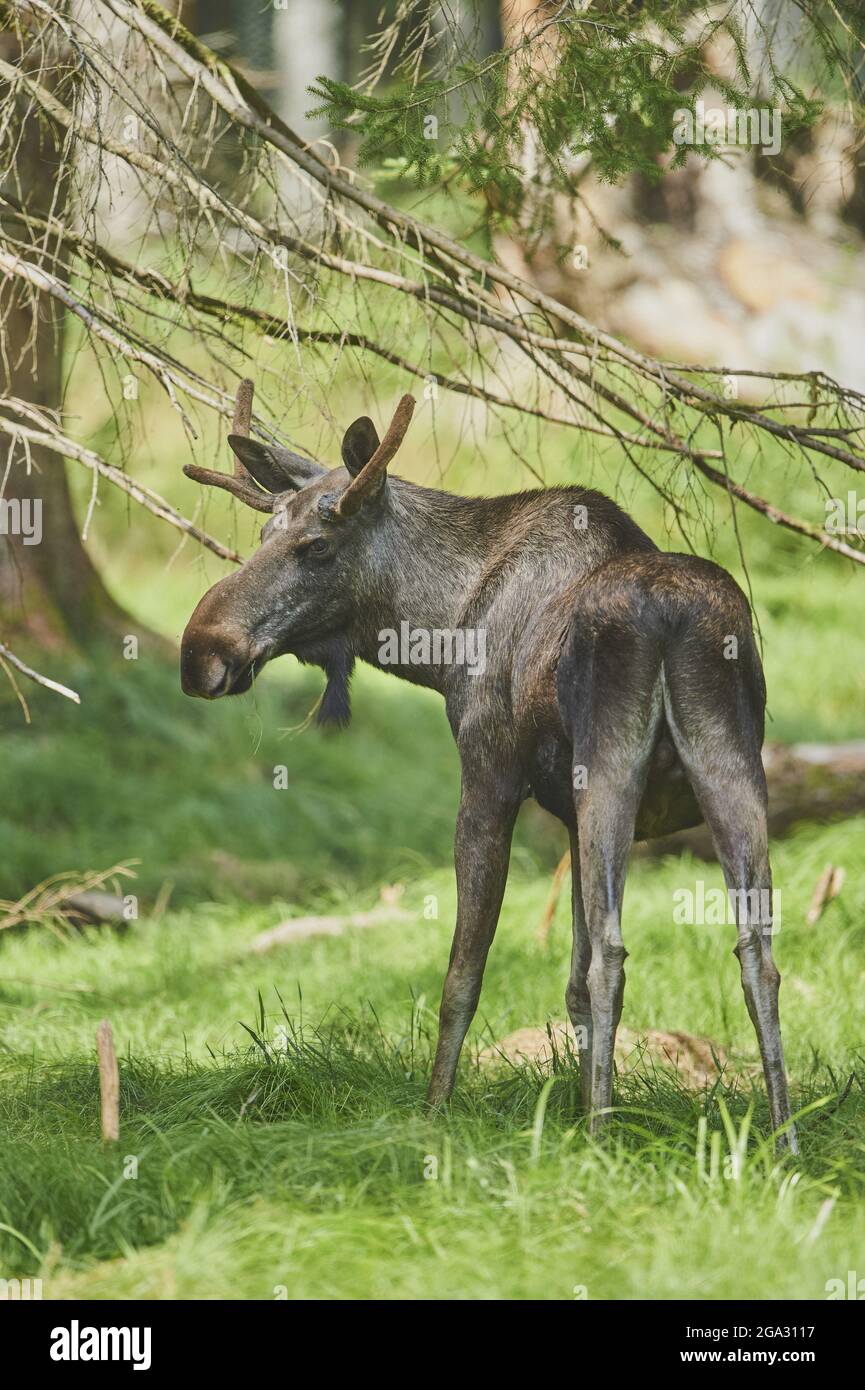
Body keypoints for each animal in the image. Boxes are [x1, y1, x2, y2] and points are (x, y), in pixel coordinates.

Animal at [180, 380, 797, 1153]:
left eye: (315, 545)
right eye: (264, 535)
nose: (201, 651)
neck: (440, 633)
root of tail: (671, 617)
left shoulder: (487, 778)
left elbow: (462, 975)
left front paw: (434, 1114)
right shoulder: (564, 812)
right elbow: (568, 982)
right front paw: (570, 1106)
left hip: (612, 771)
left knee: (613, 954)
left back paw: (603, 1140)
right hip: (732, 766)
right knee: (756, 952)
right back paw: (783, 1139)